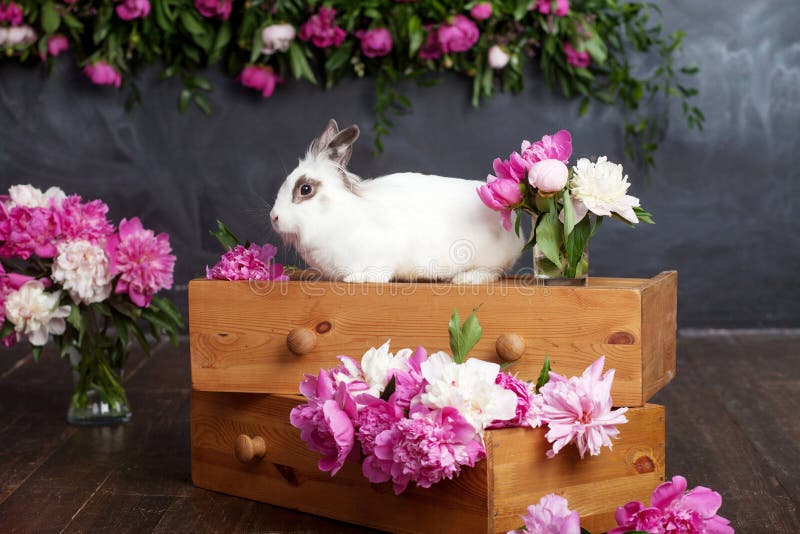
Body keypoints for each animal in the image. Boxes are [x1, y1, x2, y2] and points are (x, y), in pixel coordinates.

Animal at [269, 119, 525, 284]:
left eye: (305, 189)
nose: (274, 217)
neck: (340, 213)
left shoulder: (379, 259)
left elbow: (377, 274)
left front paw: (356, 279)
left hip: (489, 259)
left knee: (491, 273)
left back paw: (465, 279)